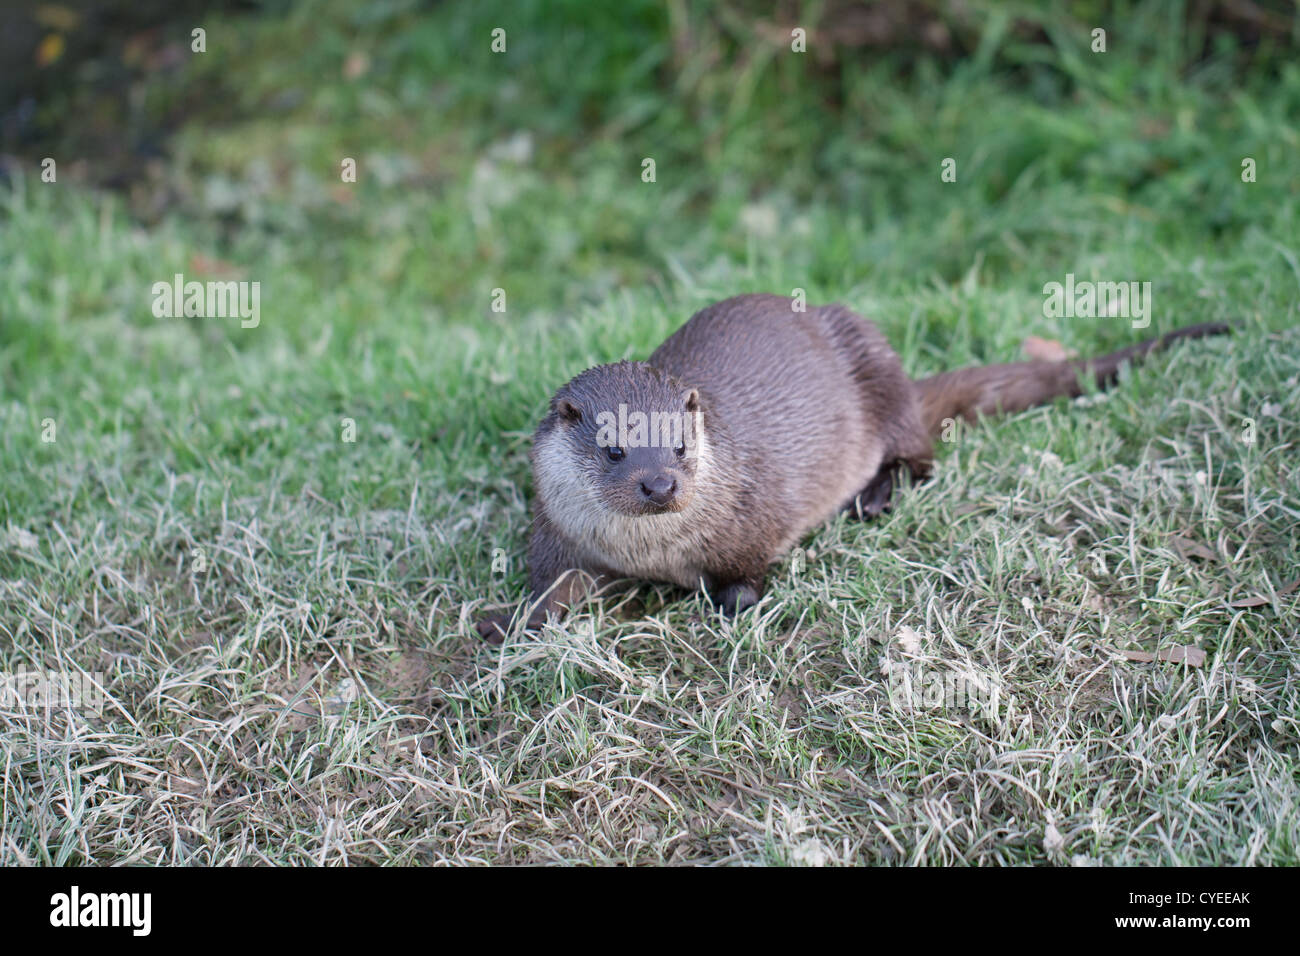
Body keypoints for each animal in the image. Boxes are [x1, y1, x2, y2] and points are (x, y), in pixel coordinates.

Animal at [477, 294, 1227, 640]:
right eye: (614, 449)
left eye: (682, 446)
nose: (660, 483)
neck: (647, 555)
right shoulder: (557, 534)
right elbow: (549, 592)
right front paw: (508, 624)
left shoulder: (754, 517)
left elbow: (747, 576)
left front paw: (730, 604)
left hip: (879, 373)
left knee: (922, 457)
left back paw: (874, 497)